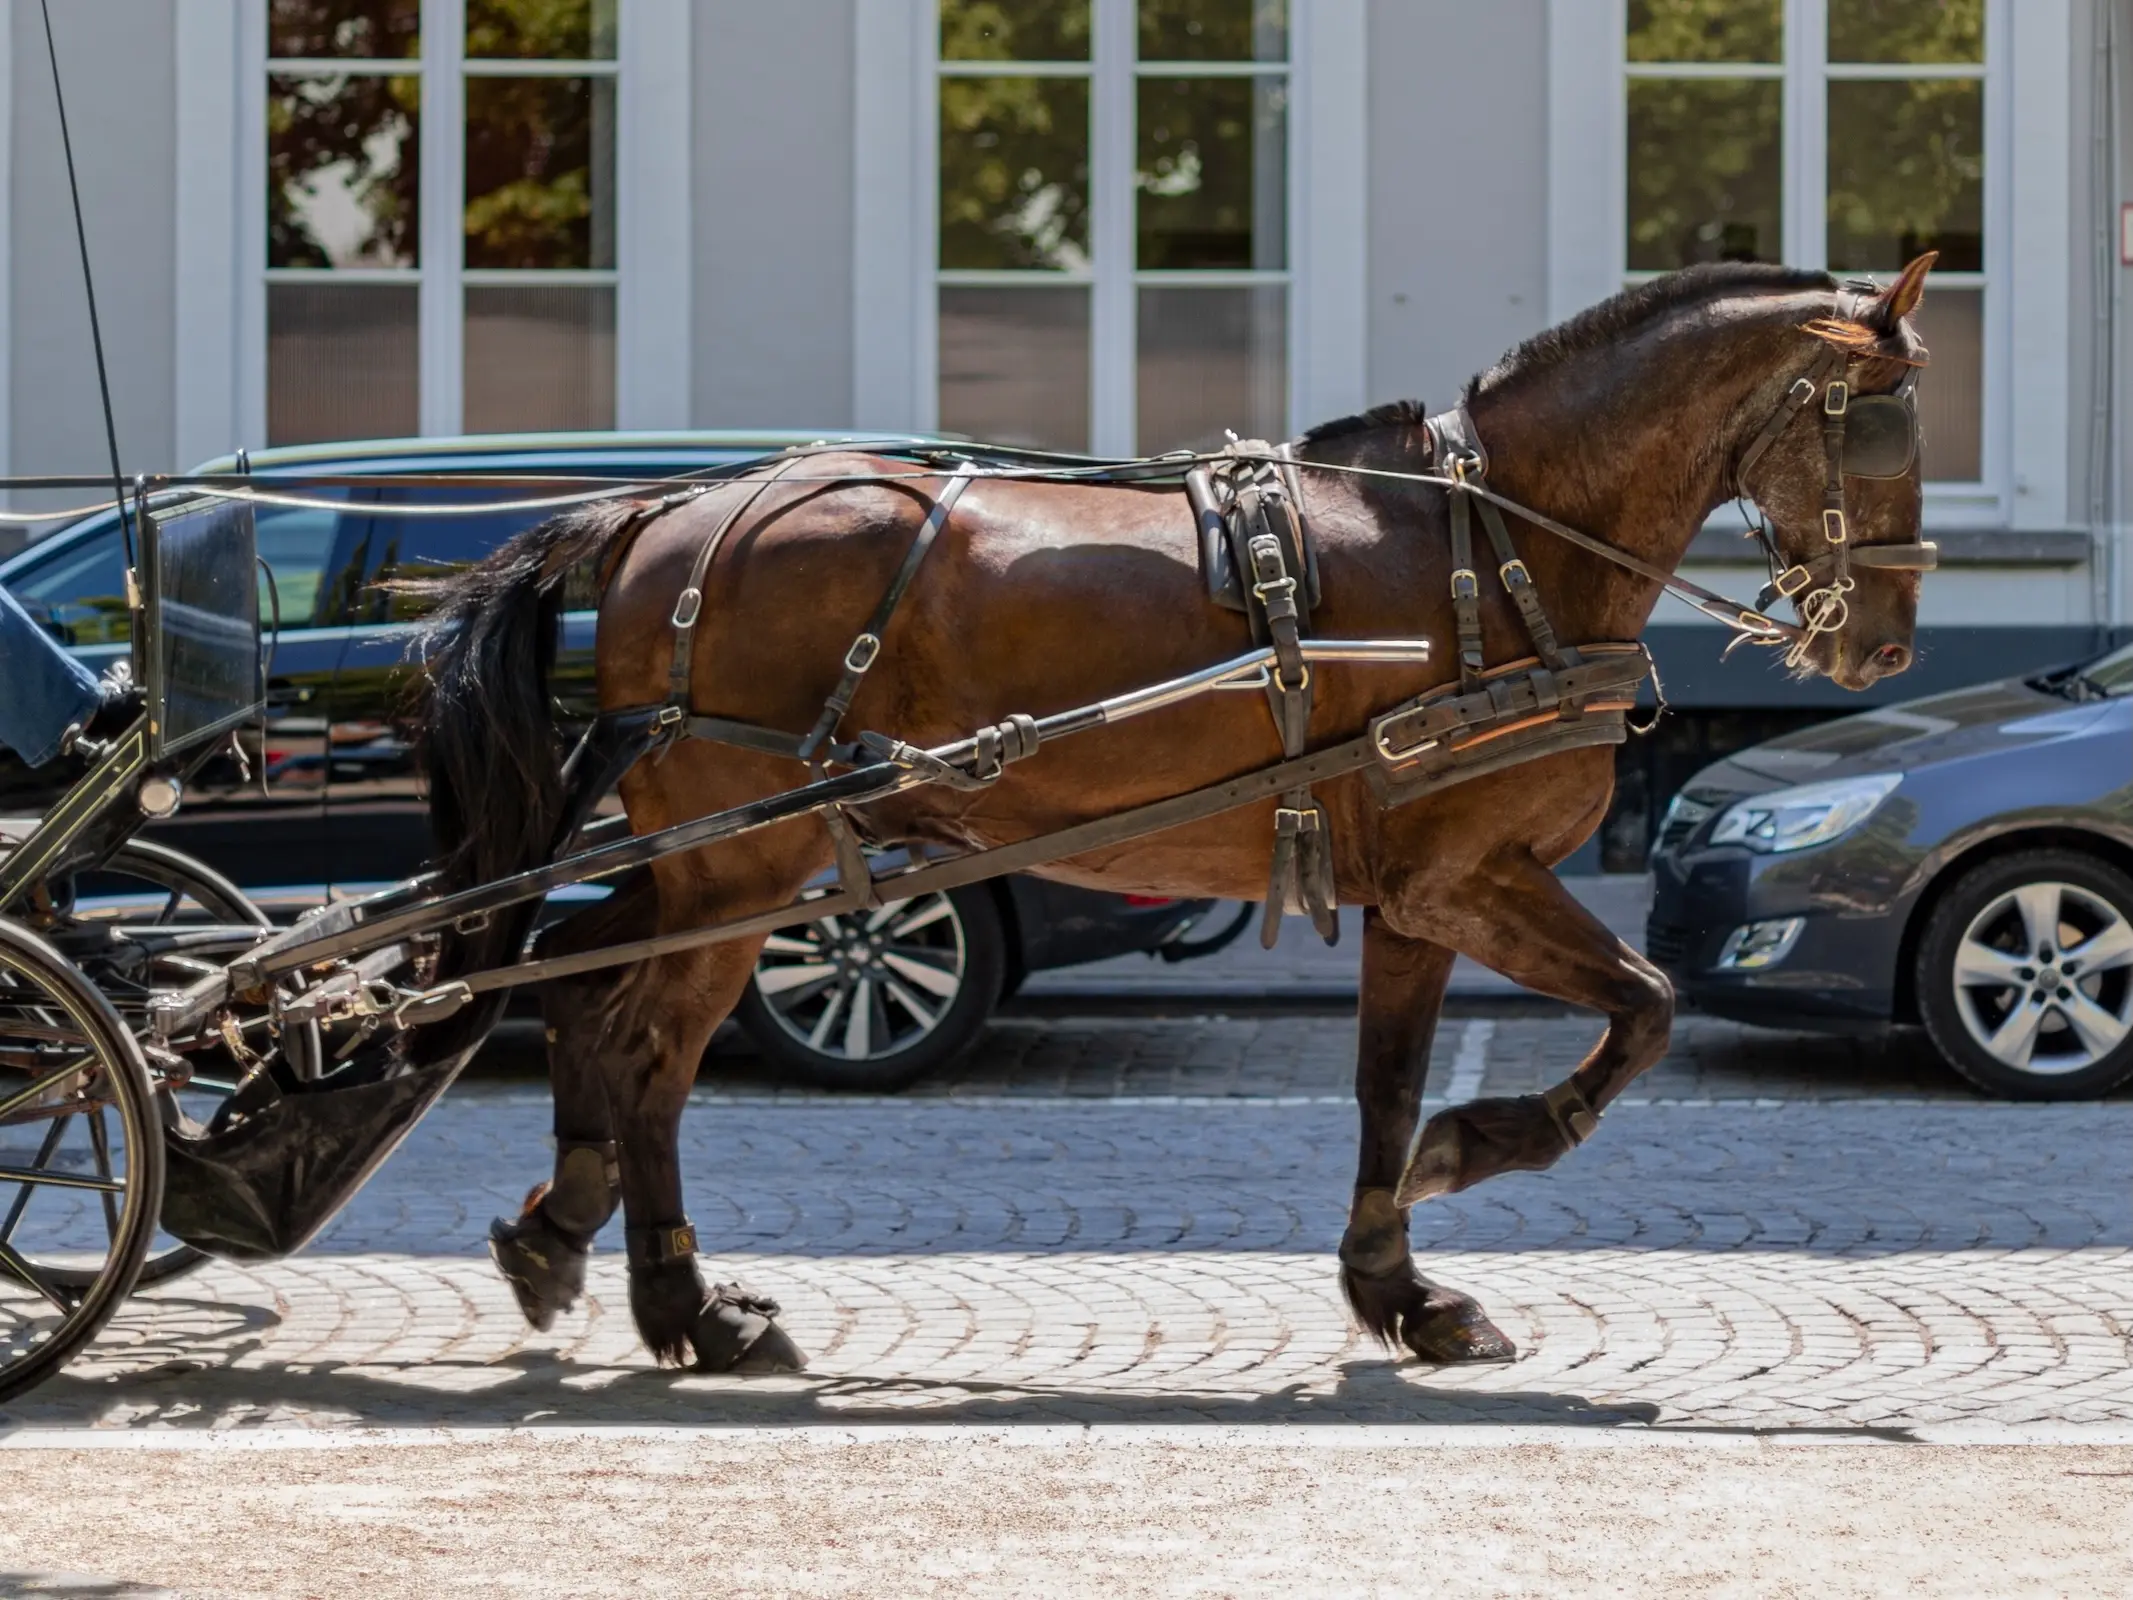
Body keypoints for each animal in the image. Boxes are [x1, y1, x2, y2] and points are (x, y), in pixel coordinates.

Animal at [417, 256, 1935, 1374]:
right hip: (749, 858)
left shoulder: (1415, 892)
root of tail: (663, 514)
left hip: (710, 863)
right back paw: (687, 1307)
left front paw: (1397, 1283)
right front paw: (1473, 1152)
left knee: (571, 978)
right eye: (1878, 426)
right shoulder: (1471, 877)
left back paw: (559, 1231)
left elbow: (1390, 1083)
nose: (1887, 645)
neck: (1499, 548)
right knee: (653, 1053)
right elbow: (1645, 1006)